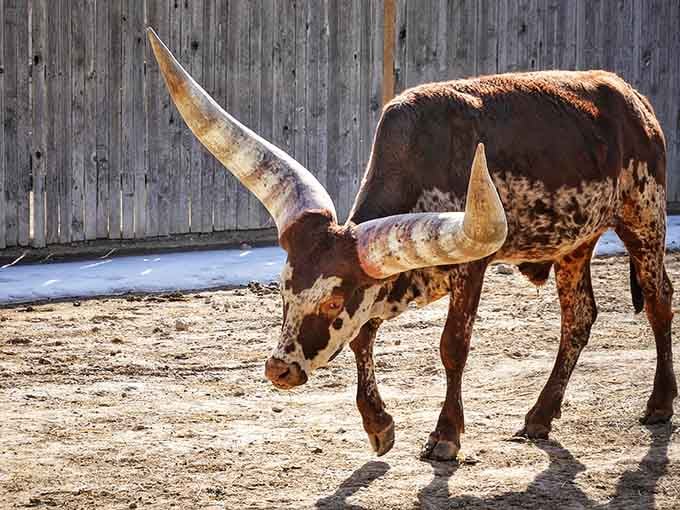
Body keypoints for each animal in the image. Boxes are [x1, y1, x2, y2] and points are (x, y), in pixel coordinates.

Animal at [147, 28, 676, 462]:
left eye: (333, 299)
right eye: (282, 290)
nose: (279, 368)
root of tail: (634, 99)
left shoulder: (471, 266)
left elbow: (453, 346)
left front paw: (445, 436)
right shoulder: (384, 282)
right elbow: (361, 338)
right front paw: (378, 426)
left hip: (644, 215)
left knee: (658, 300)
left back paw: (659, 403)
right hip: (573, 244)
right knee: (580, 317)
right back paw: (540, 416)